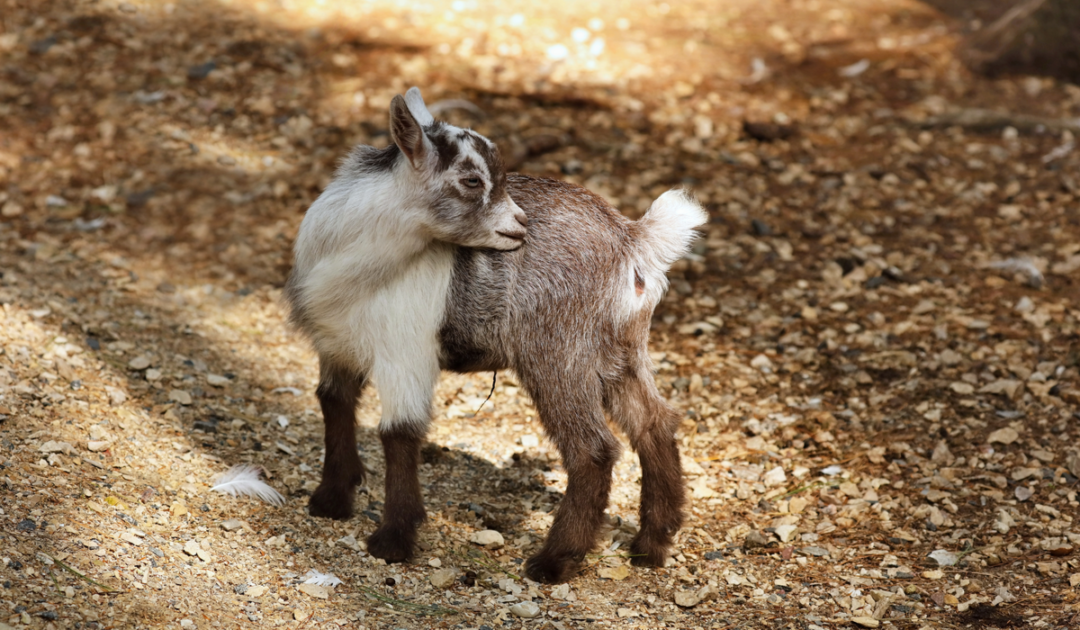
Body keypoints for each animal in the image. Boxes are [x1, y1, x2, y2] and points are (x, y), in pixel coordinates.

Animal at [285, 87, 707, 583]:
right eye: (471, 180)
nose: (521, 225)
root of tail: (633, 243)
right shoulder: (336, 345)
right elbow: (334, 402)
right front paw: (331, 500)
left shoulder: (404, 352)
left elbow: (400, 434)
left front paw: (393, 540)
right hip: (619, 352)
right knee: (655, 424)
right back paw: (651, 545)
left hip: (558, 355)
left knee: (593, 450)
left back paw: (555, 561)